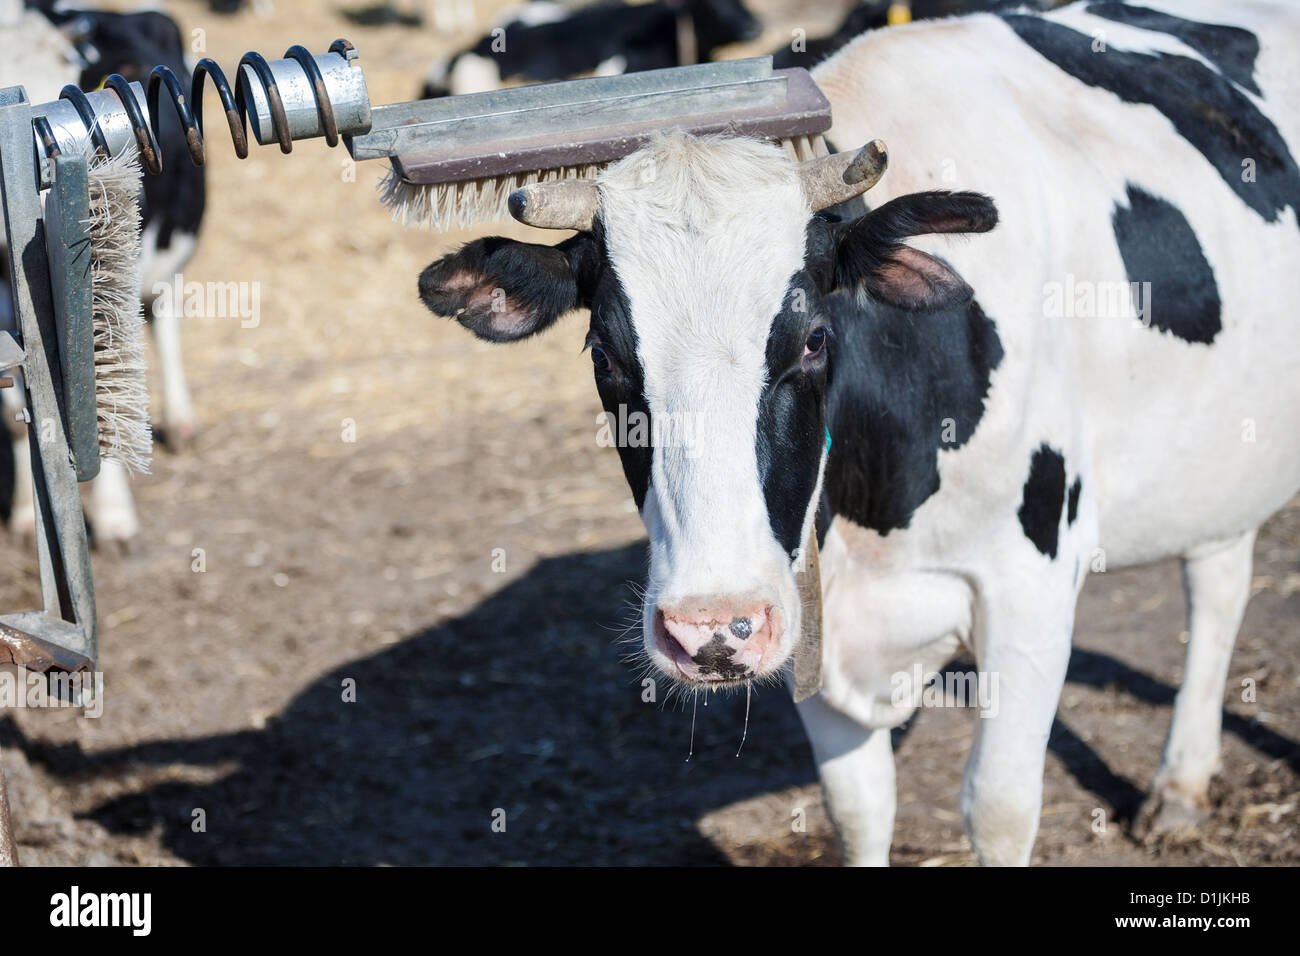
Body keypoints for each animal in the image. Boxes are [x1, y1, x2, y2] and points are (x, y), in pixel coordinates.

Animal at [418, 0, 1300, 863]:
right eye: (604, 354)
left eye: (814, 339)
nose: (711, 630)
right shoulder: (804, 604)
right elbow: (858, 809)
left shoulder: (1033, 585)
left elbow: (1000, 807)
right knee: (1220, 578)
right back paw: (1181, 786)